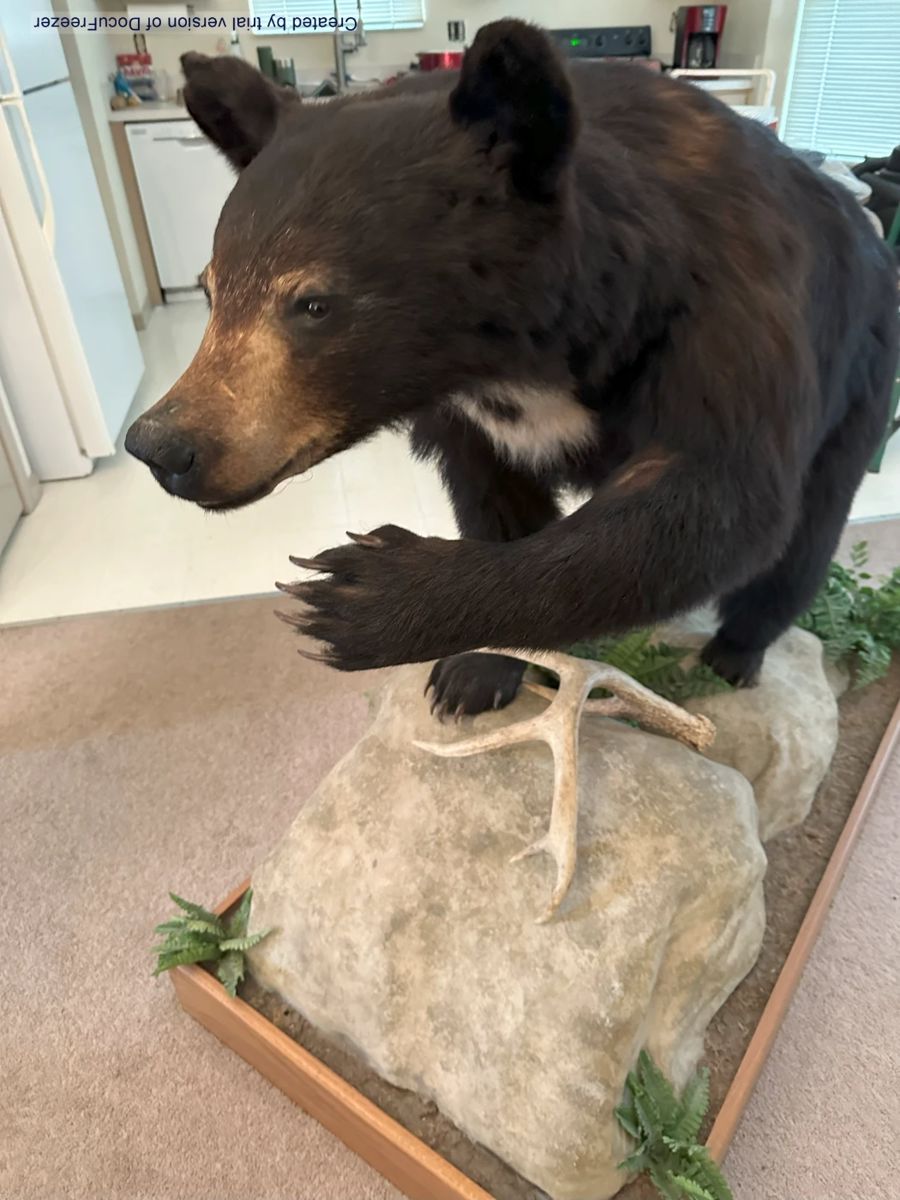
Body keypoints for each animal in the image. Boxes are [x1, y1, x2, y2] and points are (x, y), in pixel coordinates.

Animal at [125, 20, 898, 719]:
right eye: (211, 288)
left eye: (313, 304)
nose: (162, 445)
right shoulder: (476, 419)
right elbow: (494, 499)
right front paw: (475, 671)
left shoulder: (718, 321)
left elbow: (720, 495)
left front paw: (367, 591)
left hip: (859, 385)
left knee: (807, 535)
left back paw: (736, 651)